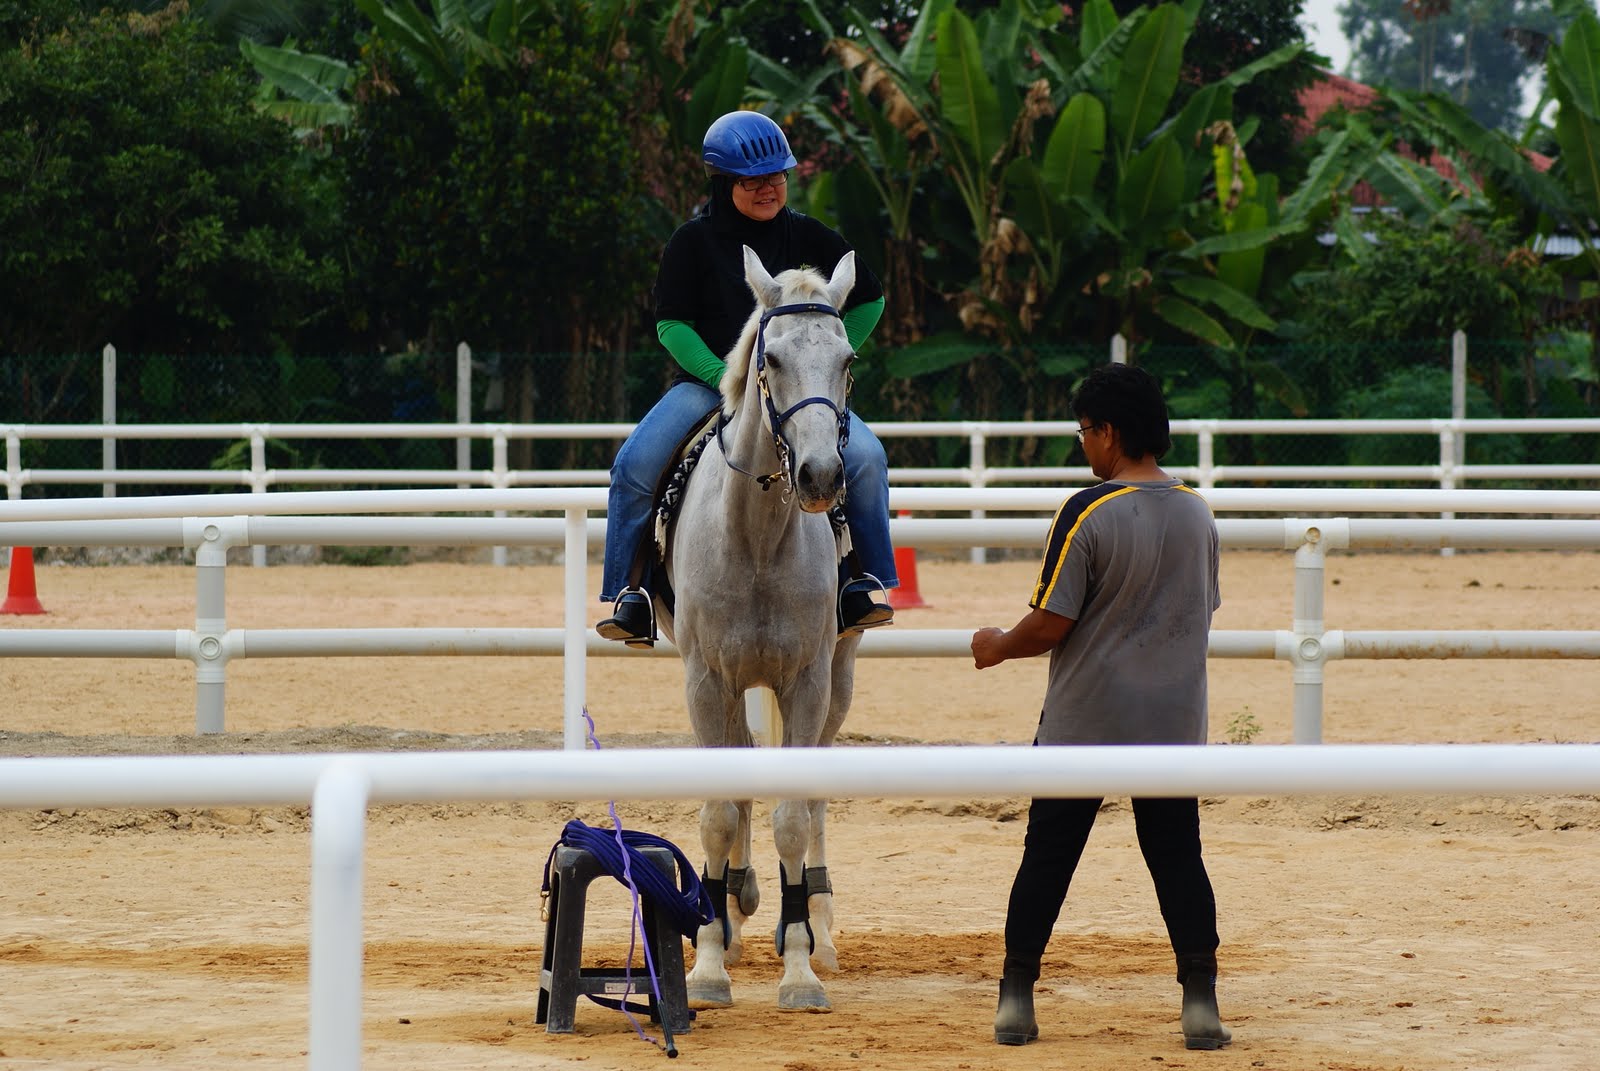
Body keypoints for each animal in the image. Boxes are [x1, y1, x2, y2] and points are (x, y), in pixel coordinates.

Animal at [653, 245, 863, 1013]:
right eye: (769, 357)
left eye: (847, 358)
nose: (821, 476)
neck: (758, 537)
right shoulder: (706, 679)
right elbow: (720, 809)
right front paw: (710, 962)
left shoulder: (805, 680)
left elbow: (794, 816)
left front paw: (800, 969)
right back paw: (736, 910)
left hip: (838, 679)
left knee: (813, 796)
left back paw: (816, 929)